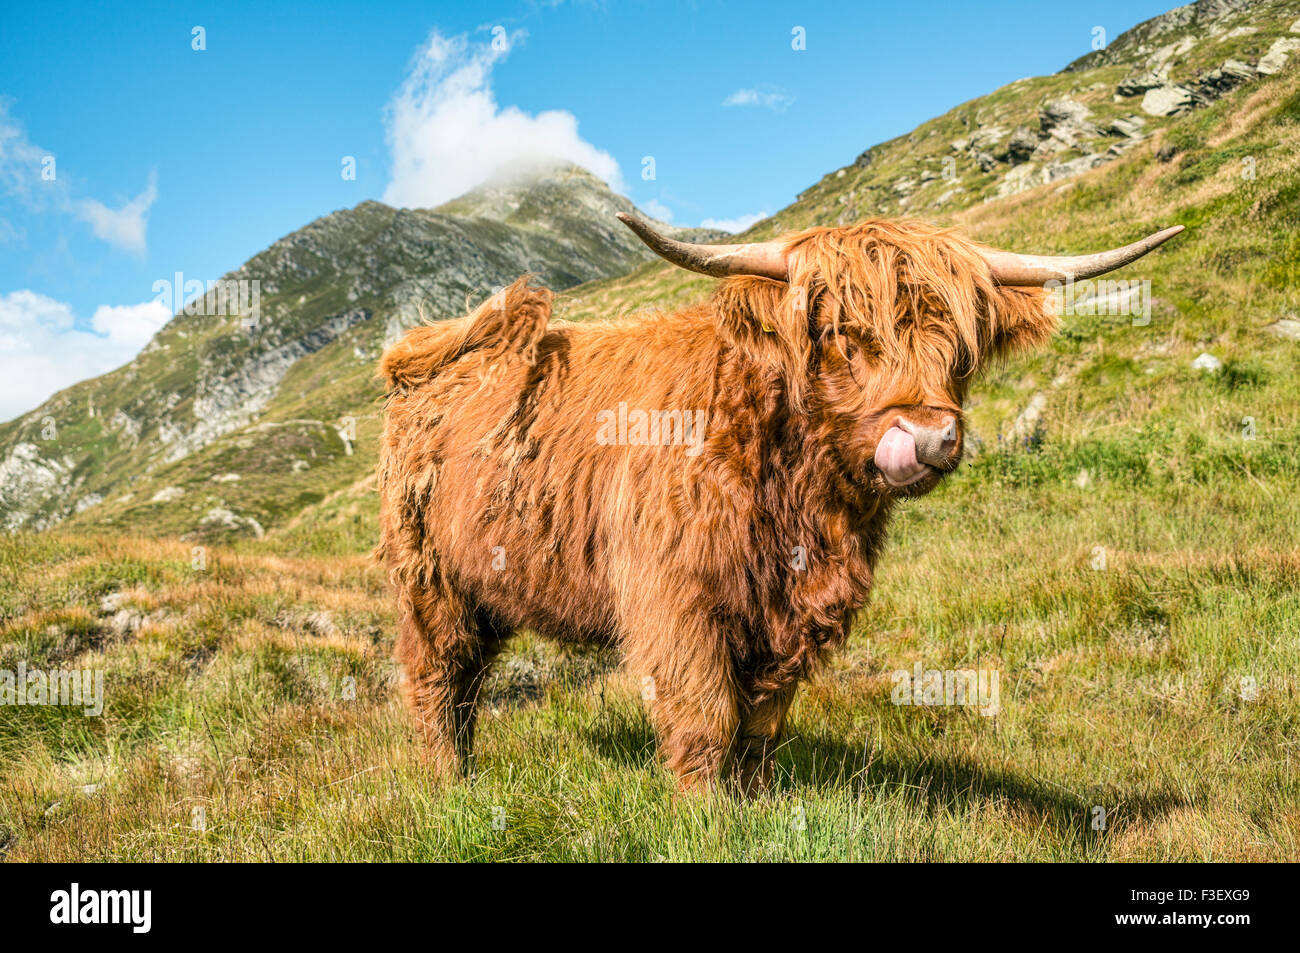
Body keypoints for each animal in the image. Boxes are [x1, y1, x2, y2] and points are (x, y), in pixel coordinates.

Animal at [376, 213, 1182, 793]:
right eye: (841, 335)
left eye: (961, 349)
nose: (928, 438)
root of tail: (433, 354)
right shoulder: (678, 601)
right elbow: (704, 718)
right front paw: (704, 816)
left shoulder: (790, 613)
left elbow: (761, 724)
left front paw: (756, 803)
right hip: (428, 577)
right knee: (439, 678)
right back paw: (450, 786)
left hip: (489, 582)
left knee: (469, 681)